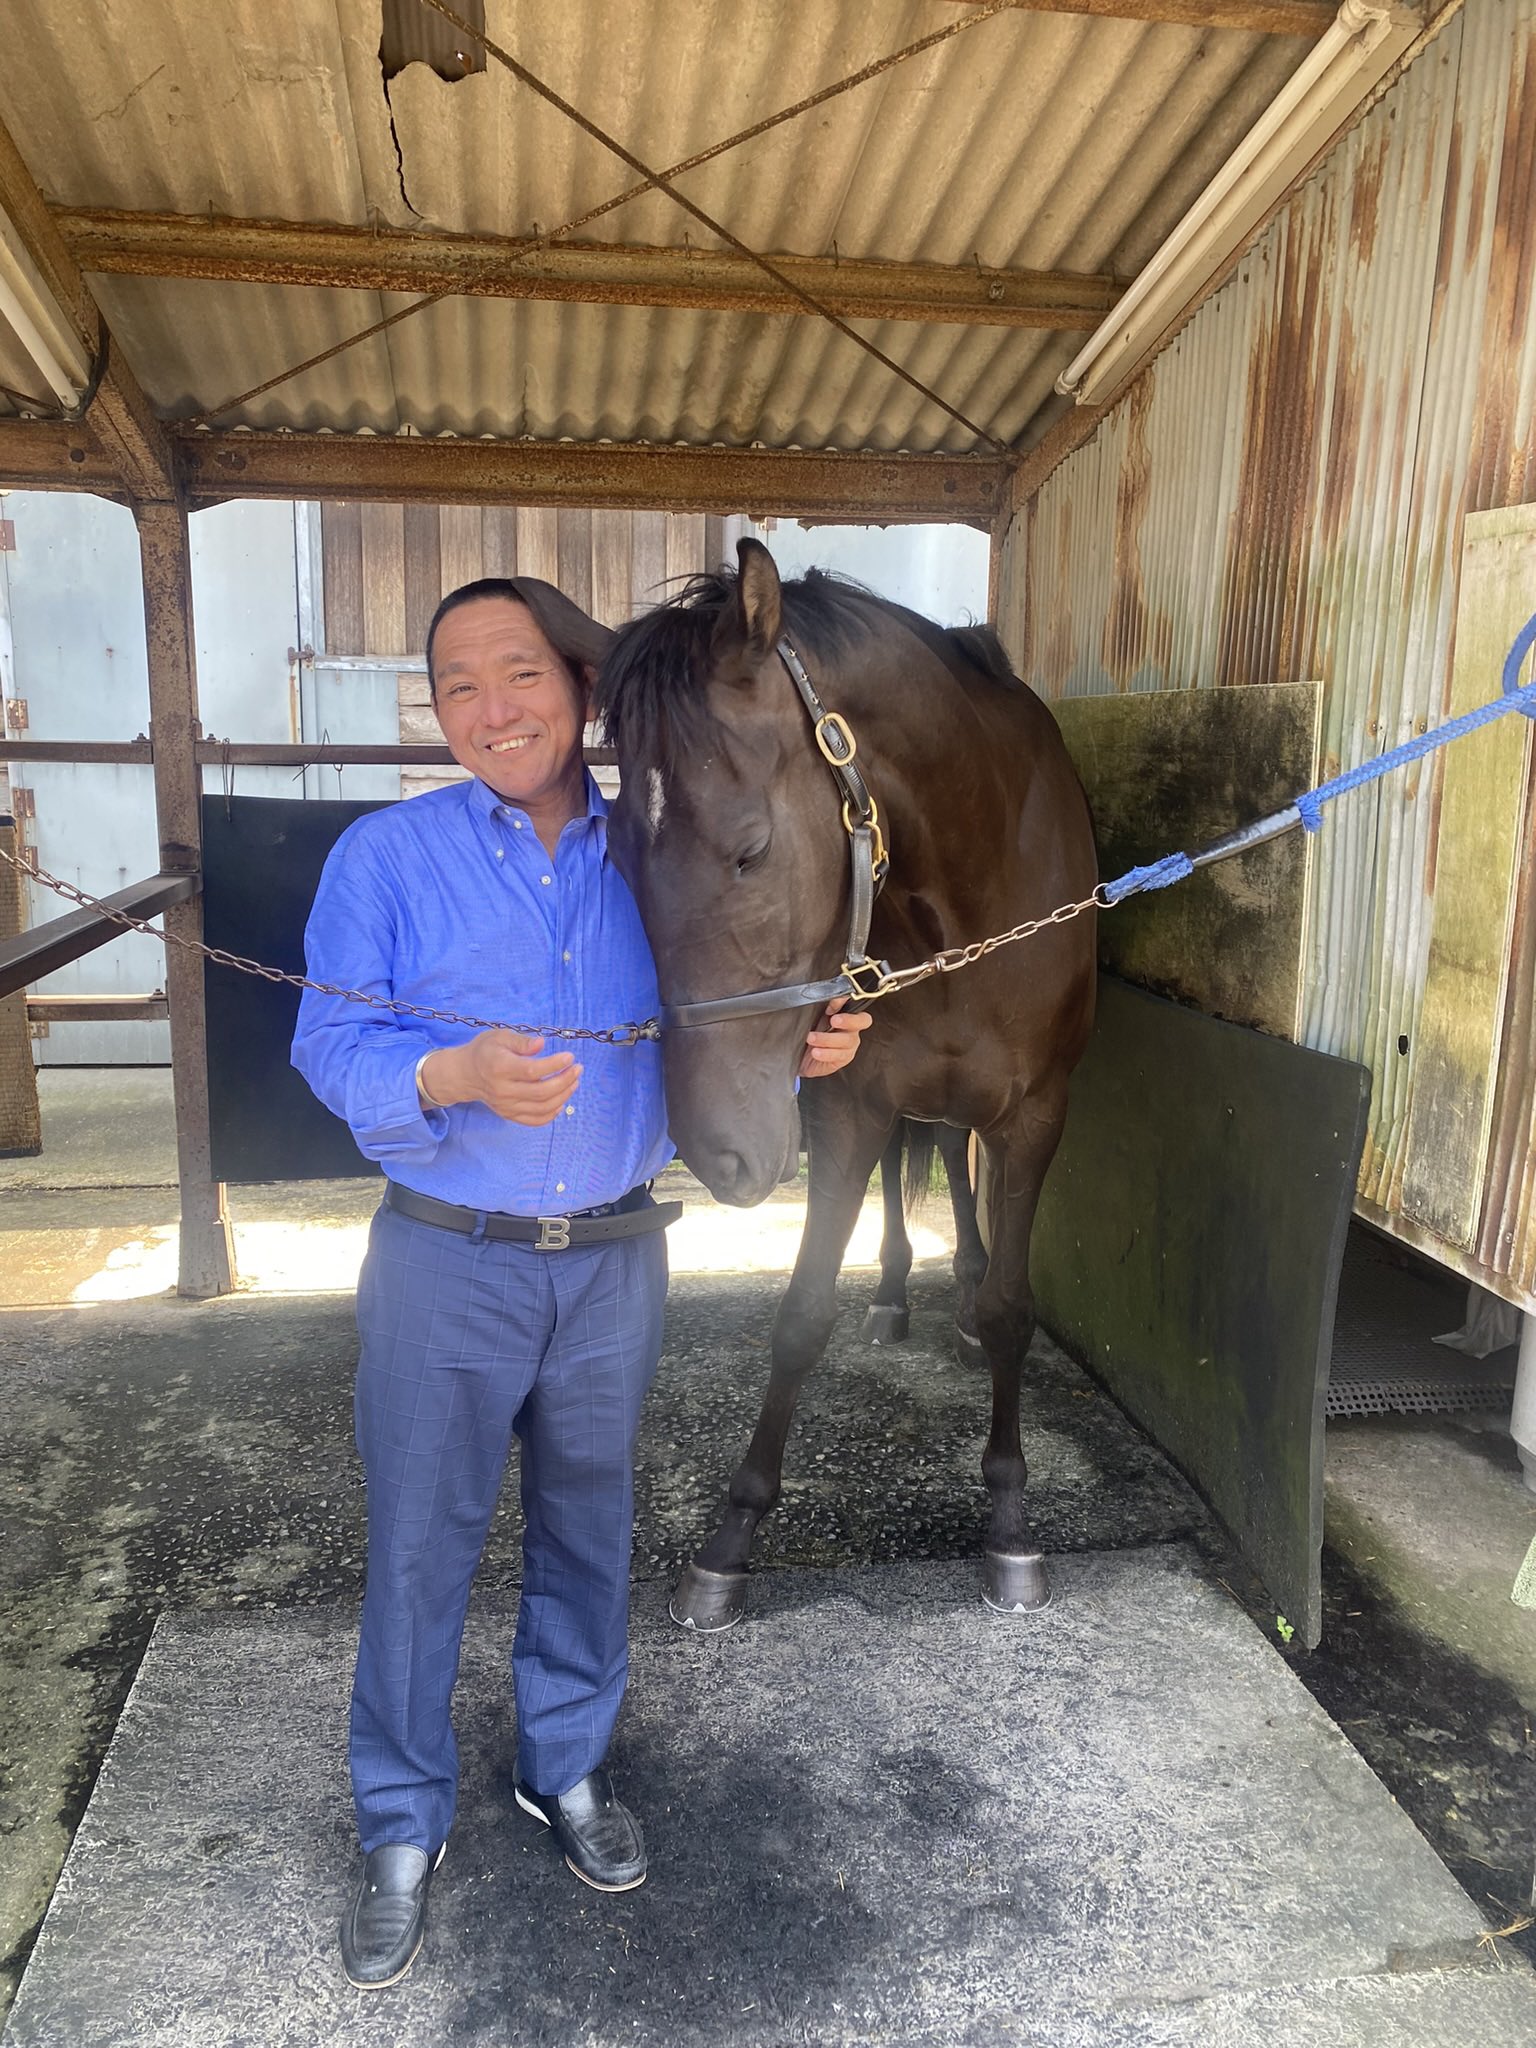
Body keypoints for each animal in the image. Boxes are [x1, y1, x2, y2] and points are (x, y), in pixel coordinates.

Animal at [597, 539, 1097, 1627]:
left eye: (750, 848)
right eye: (612, 851)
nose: (719, 1153)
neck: (970, 884)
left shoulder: (1037, 1117)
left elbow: (1013, 1311)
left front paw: (1009, 1522)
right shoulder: (847, 1106)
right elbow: (800, 1316)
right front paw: (731, 1541)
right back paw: (902, 1289)